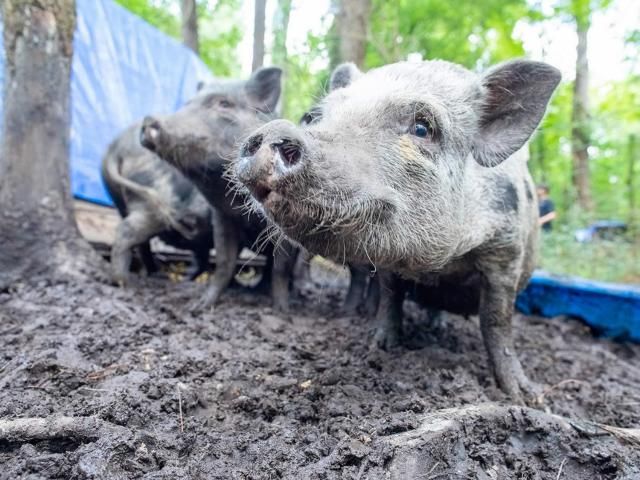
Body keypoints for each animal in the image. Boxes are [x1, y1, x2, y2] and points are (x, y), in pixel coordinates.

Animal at [101, 124, 213, 285]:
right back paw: (123, 280)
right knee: (127, 231)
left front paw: (187, 277)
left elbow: (202, 256)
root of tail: (117, 148)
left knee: (139, 241)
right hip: (154, 201)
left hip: (117, 196)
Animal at [140, 67, 297, 311]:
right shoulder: (222, 217)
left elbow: (281, 266)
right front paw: (199, 306)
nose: (150, 120)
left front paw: (282, 311)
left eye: (224, 103)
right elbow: (224, 261)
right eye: (188, 103)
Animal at [233, 59, 561, 402]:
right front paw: (378, 346)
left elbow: (497, 321)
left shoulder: (506, 252)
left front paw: (526, 396)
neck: (440, 267)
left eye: (422, 128)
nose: (275, 131)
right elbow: (391, 299)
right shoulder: (389, 266)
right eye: (314, 117)